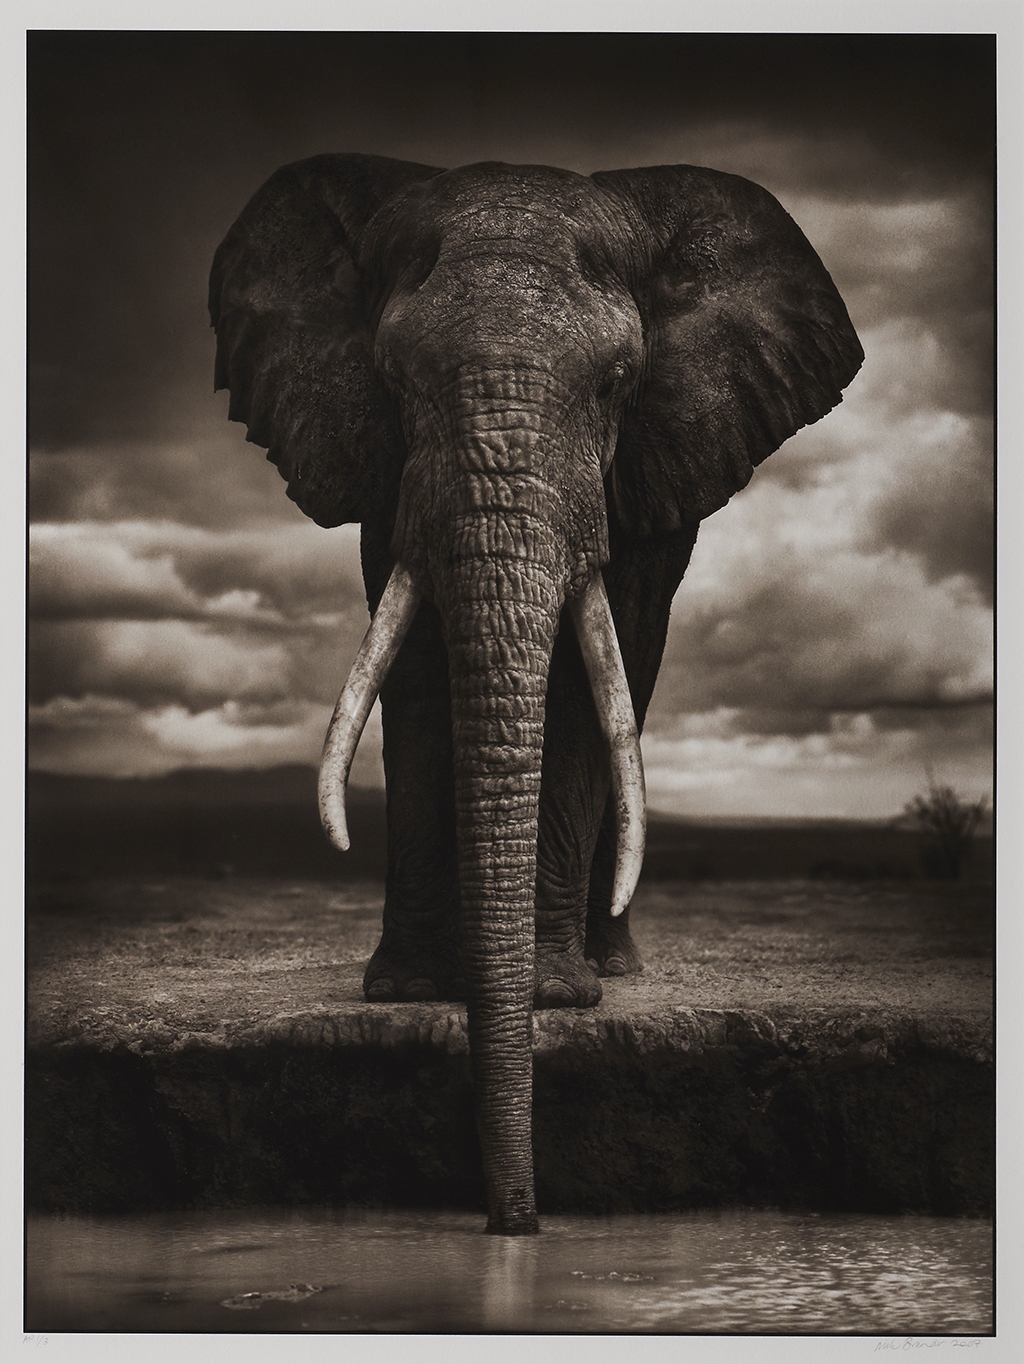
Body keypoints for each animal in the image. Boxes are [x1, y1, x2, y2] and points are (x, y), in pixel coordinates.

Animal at [209, 154, 863, 1234]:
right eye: (393, 379)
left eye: (616, 382)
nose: (516, 1222)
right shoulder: (387, 473)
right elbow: (416, 678)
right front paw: (410, 990)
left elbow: (593, 677)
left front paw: (555, 997)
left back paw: (612, 965)